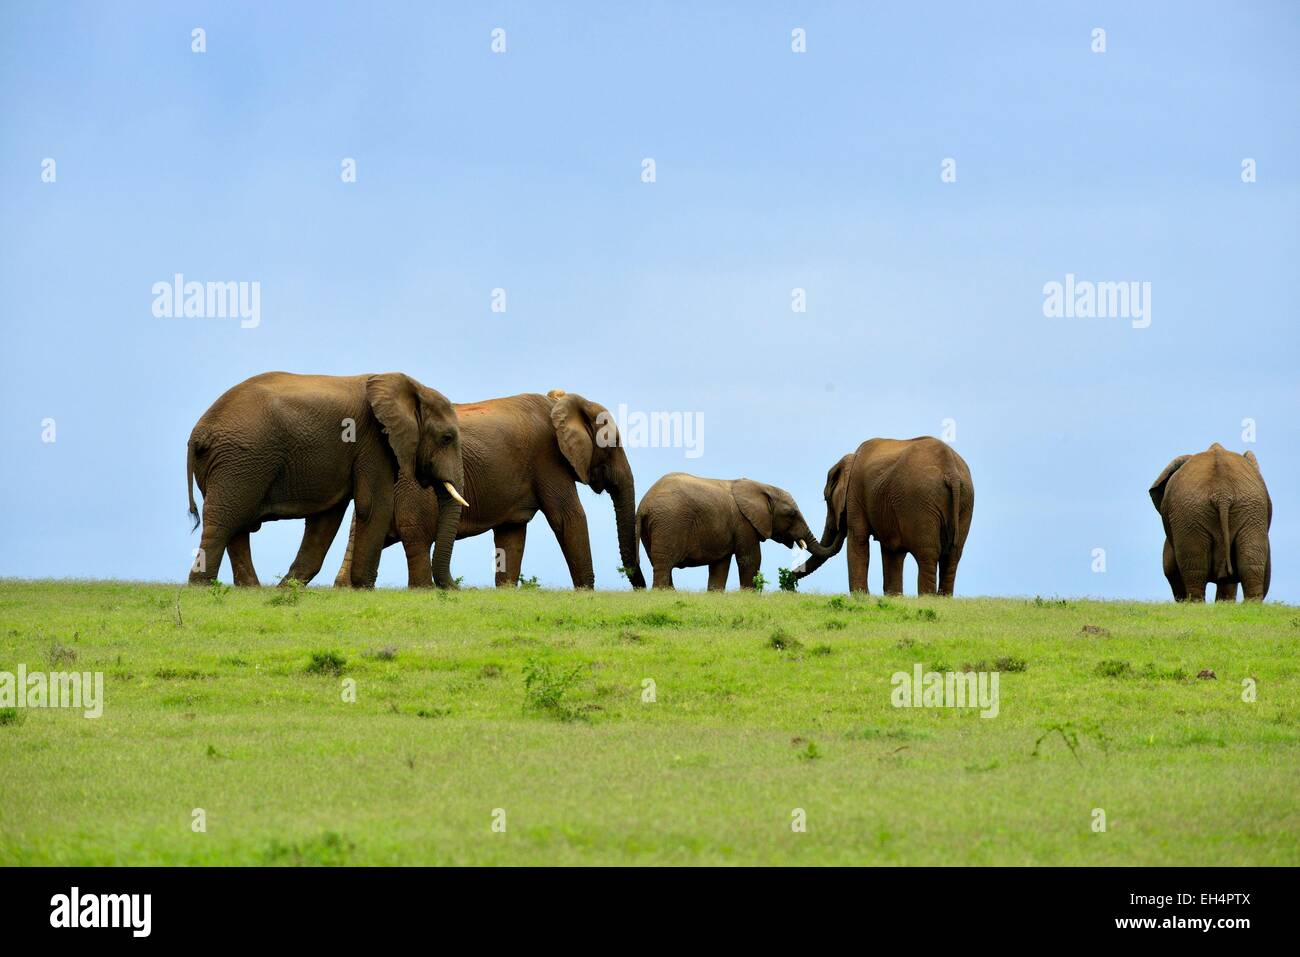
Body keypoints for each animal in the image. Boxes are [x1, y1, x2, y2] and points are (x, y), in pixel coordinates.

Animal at [185, 372, 467, 588]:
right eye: (447, 438)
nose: (454, 588)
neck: (410, 388)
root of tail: (198, 433)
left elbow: (327, 518)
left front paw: (288, 587)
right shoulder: (373, 442)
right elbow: (373, 505)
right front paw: (363, 588)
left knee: (237, 524)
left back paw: (250, 590)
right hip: (242, 460)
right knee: (226, 520)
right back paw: (202, 588)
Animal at [316, 390, 646, 589]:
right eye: (614, 444)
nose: (640, 588)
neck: (560, 402)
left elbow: (512, 535)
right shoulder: (549, 459)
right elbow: (568, 517)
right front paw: (586, 591)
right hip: (412, 489)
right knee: (418, 540)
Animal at [635, 473, 835, 590]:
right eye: (792, 514)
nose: (788, 576)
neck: (763, 487)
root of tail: (643, 505)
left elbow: (720, 564)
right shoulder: (744, 523)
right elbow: (750, 559)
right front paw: (749, 594)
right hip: (667, 524)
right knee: (664, 564)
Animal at [794, 437, 974, 595]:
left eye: (826, 499)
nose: (789, 576)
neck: (851, 459)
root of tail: (951, 472)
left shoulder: (855, 493)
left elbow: (858, 539)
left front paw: (861, 597)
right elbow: (892, 551)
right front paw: (894, 597)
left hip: (922, 502)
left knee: (927, 556)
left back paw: (927, 599)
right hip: (965, 503)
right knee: (952, 557)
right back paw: (943, 599)